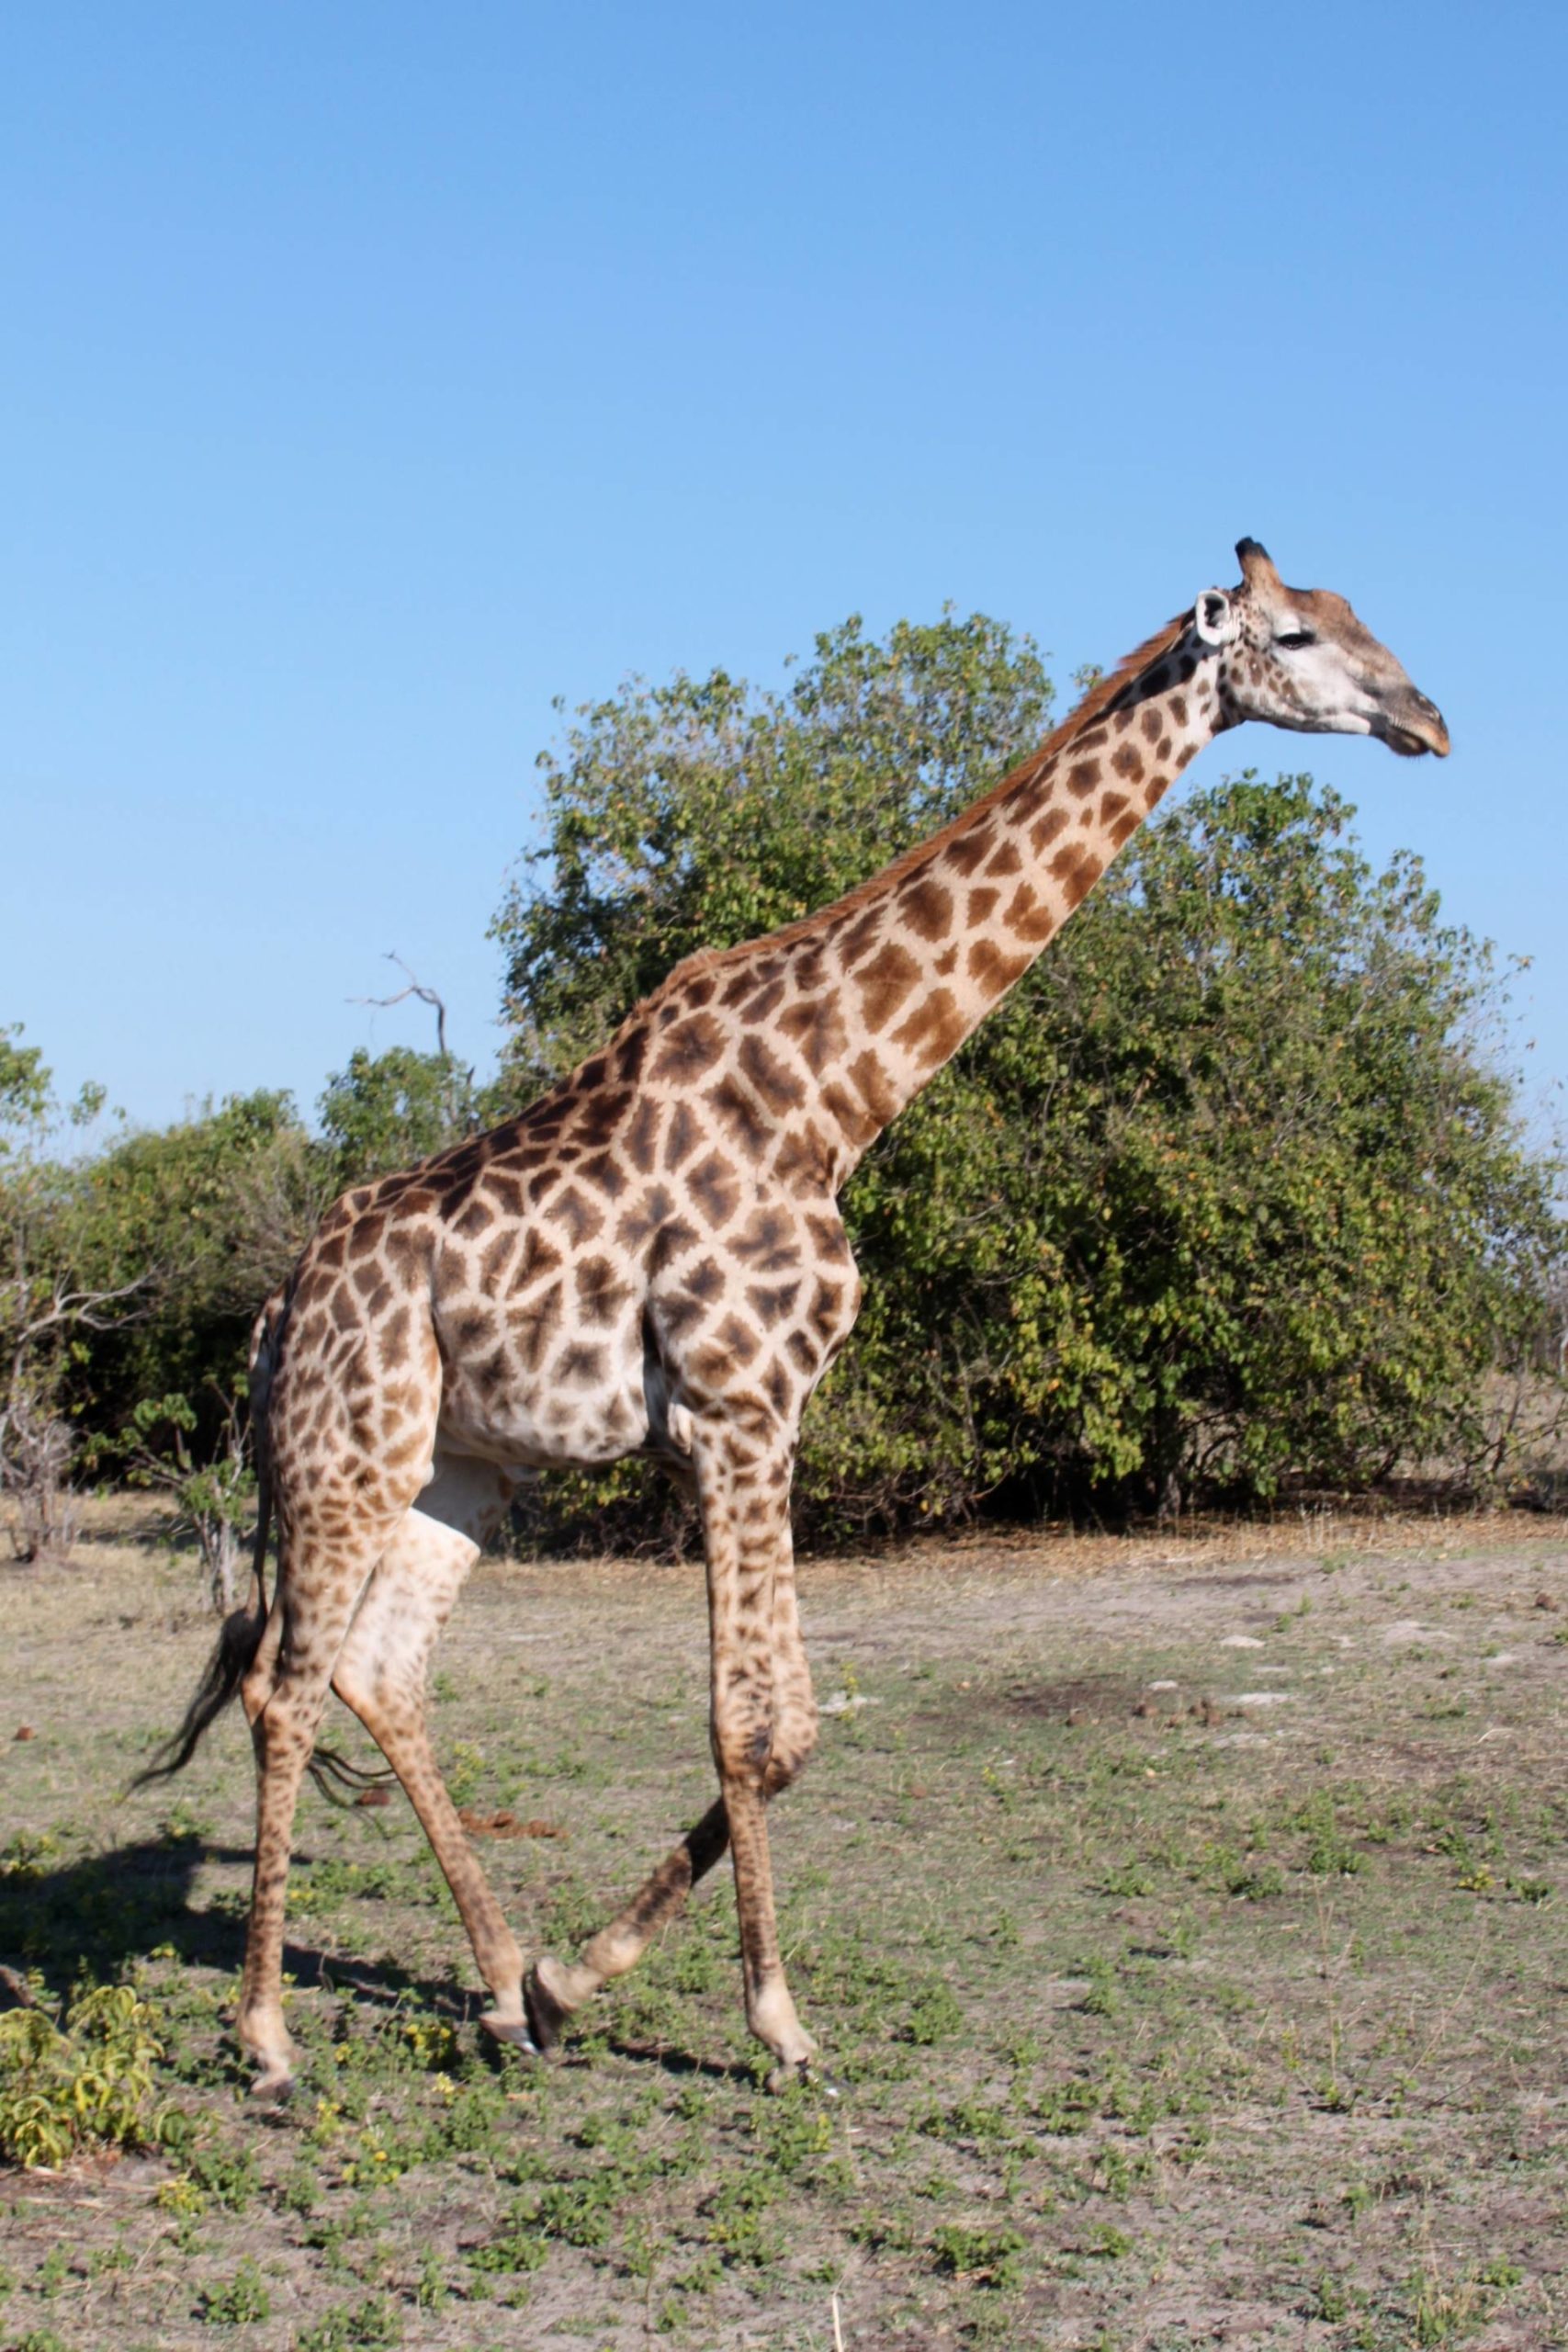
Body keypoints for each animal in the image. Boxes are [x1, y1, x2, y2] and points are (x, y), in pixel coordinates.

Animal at [145, 540, 1447, 2097]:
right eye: (1296, 635)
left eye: (1363, 616)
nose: (1427, 720)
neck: (834, 1095)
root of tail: (282, 1302)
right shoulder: (736, 1409)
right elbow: (759, 1727)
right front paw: (773, 2022)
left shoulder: (760, 1420)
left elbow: (790, 1730)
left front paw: (569, 1984)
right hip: (346, 1454)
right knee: (284, 1694)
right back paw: (269, 2039)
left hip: (465, 1466)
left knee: (379, 1672)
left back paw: (497, 1991)